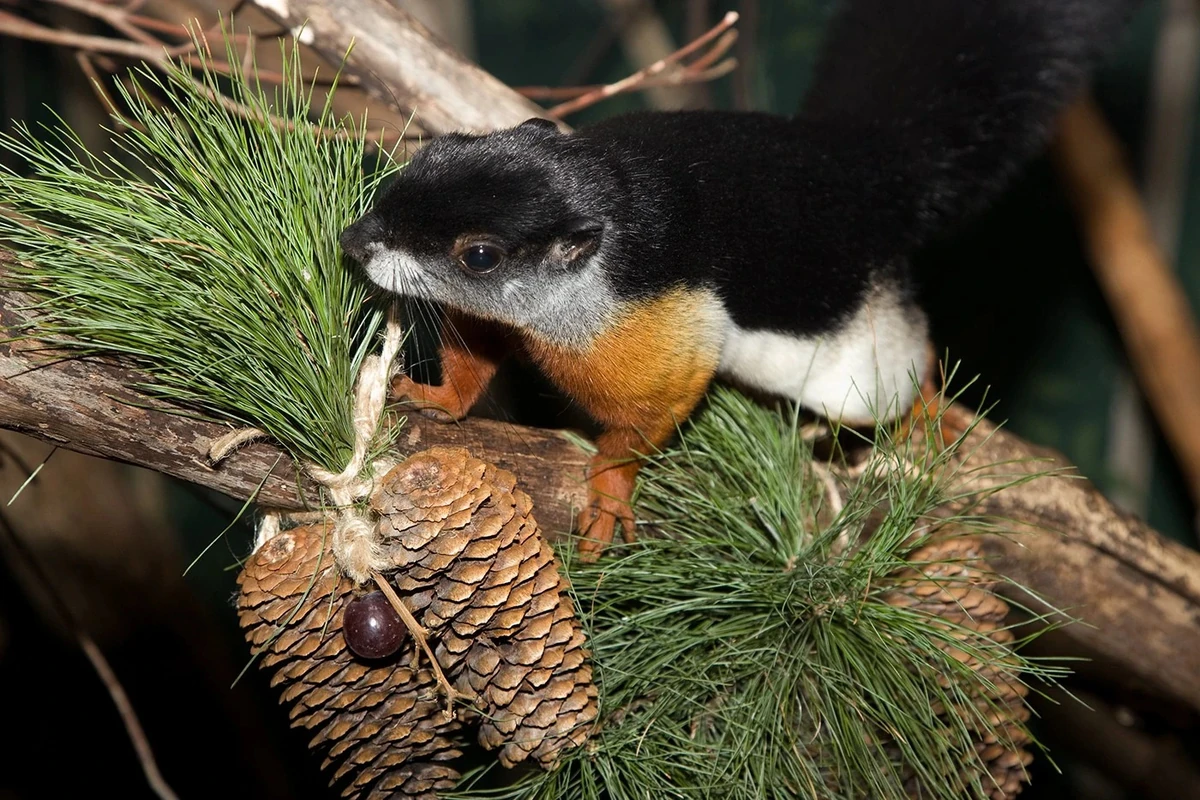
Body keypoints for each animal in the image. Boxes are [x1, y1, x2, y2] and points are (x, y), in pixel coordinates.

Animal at [340, 0, 1140, 561]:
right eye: (436, 150)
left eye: (479, 255)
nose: (353, 241)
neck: (611, 203)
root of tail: (865, 174)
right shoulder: (498, 317)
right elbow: (474, 357)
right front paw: (439, 398)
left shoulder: (662, 341)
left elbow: (641, 423)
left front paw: (610, 492)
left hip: (857, 367)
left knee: (907, 368)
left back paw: (927, 411)